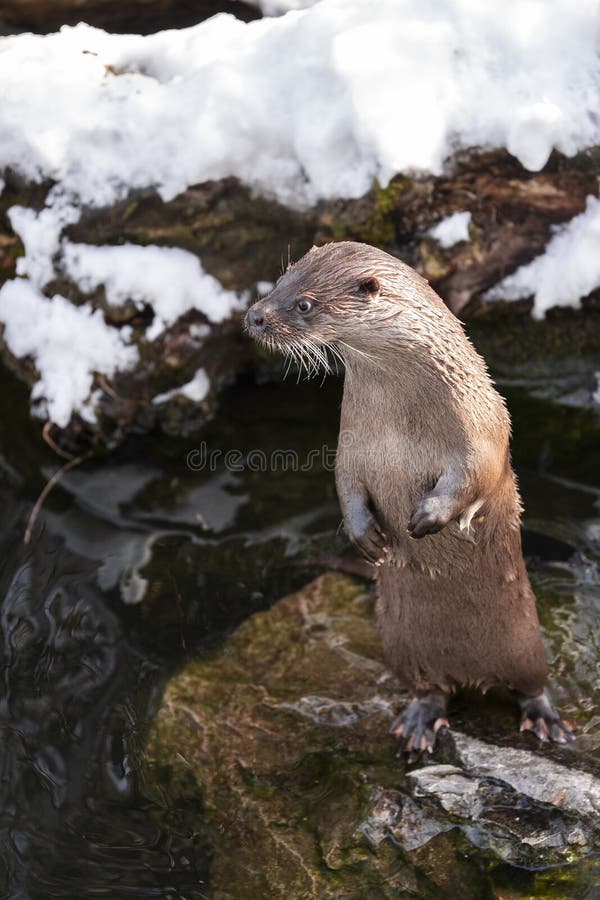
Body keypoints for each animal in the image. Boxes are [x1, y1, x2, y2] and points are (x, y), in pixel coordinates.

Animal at [245, 241, 574, 757]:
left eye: (304, 304)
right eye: (278, 282)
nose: (255, 315)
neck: (401, 426)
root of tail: (472, 674)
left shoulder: (481, 428)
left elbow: (476, 473)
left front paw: (428, 516)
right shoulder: (351, 445)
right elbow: (345, 484)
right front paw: (367, 537)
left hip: (526, 641)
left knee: (530, 683)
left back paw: (544, 717)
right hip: (402, 645)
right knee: (430, 688)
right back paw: (419, 722)